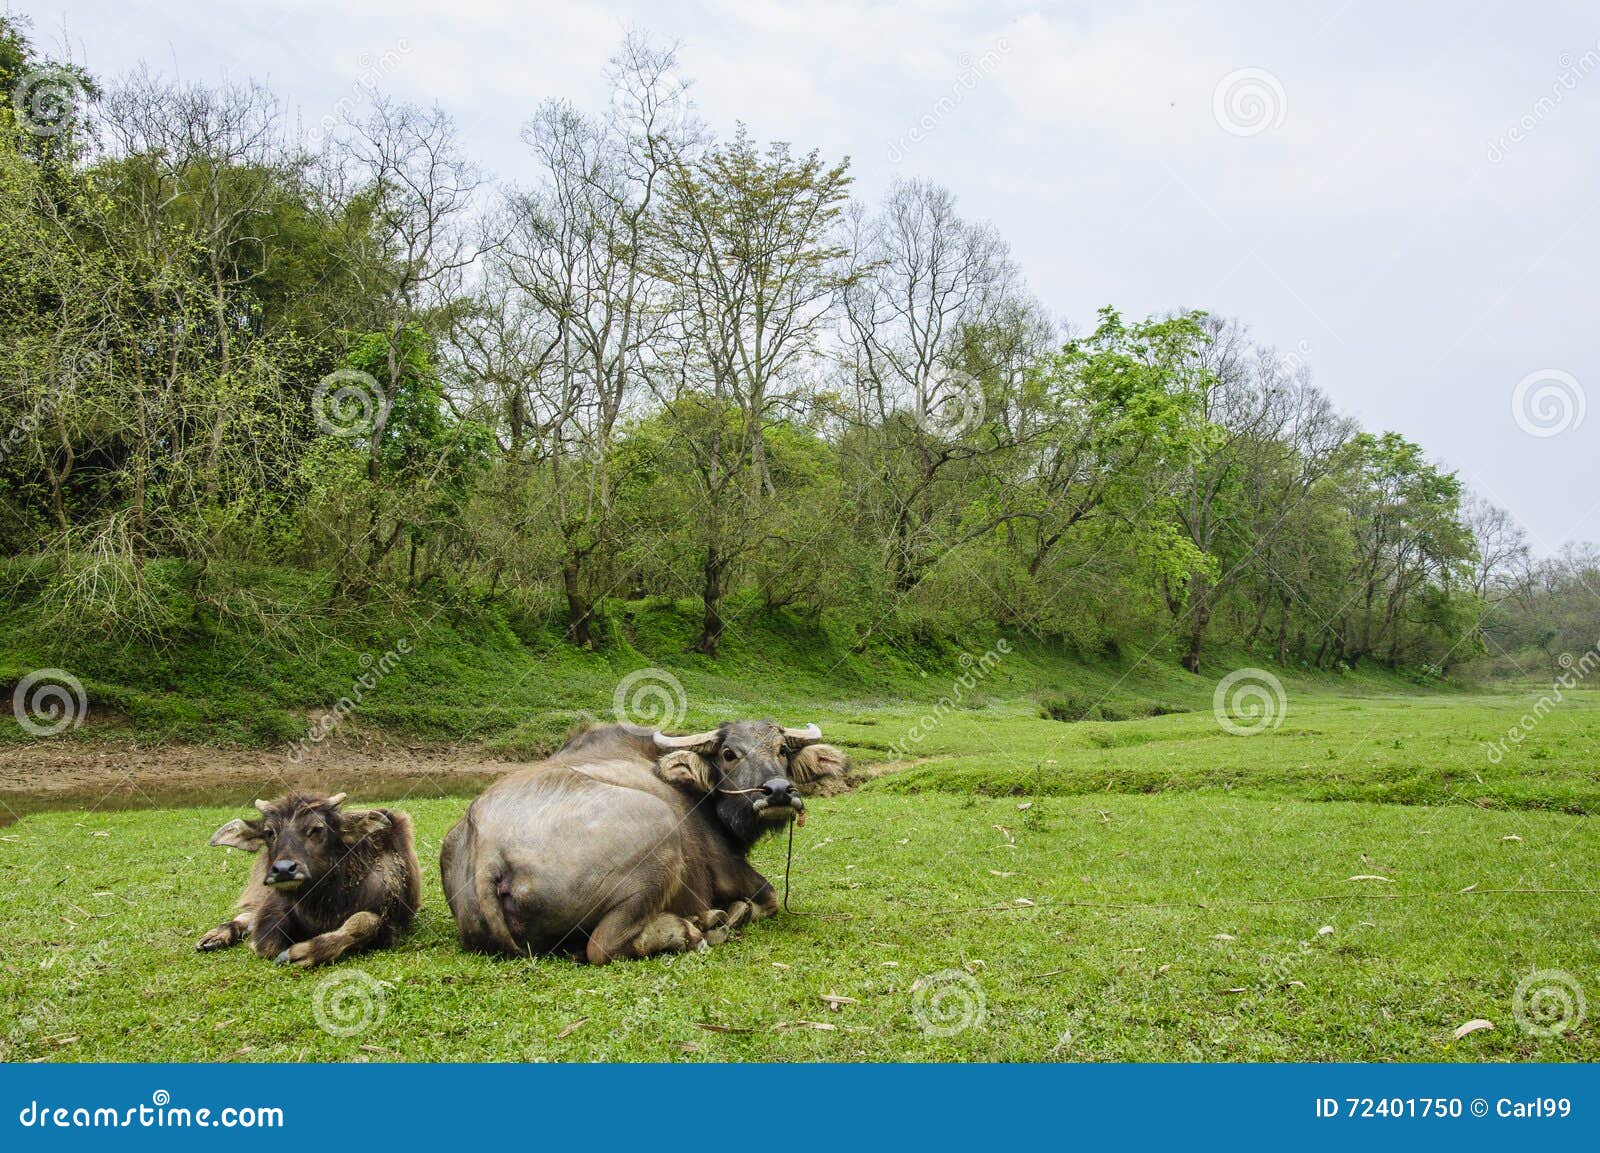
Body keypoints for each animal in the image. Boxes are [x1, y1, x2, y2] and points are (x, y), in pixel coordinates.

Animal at [197, 791, 422, 968]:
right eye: (269, 832)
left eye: (317, 829)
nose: (283, 870)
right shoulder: (274, 903)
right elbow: (266, 942)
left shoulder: (392, 920)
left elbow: (362, 923)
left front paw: (302, 953)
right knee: (247, 914)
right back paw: (216, 936)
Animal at [439, 720, 847, 962]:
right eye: (729, 753)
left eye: (783, 749)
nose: (778, 791)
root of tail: (486, 847)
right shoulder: (728, 869)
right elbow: (769, 896)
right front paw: (735, 913)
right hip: (660, 841)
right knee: (601, 947)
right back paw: (689, 930)